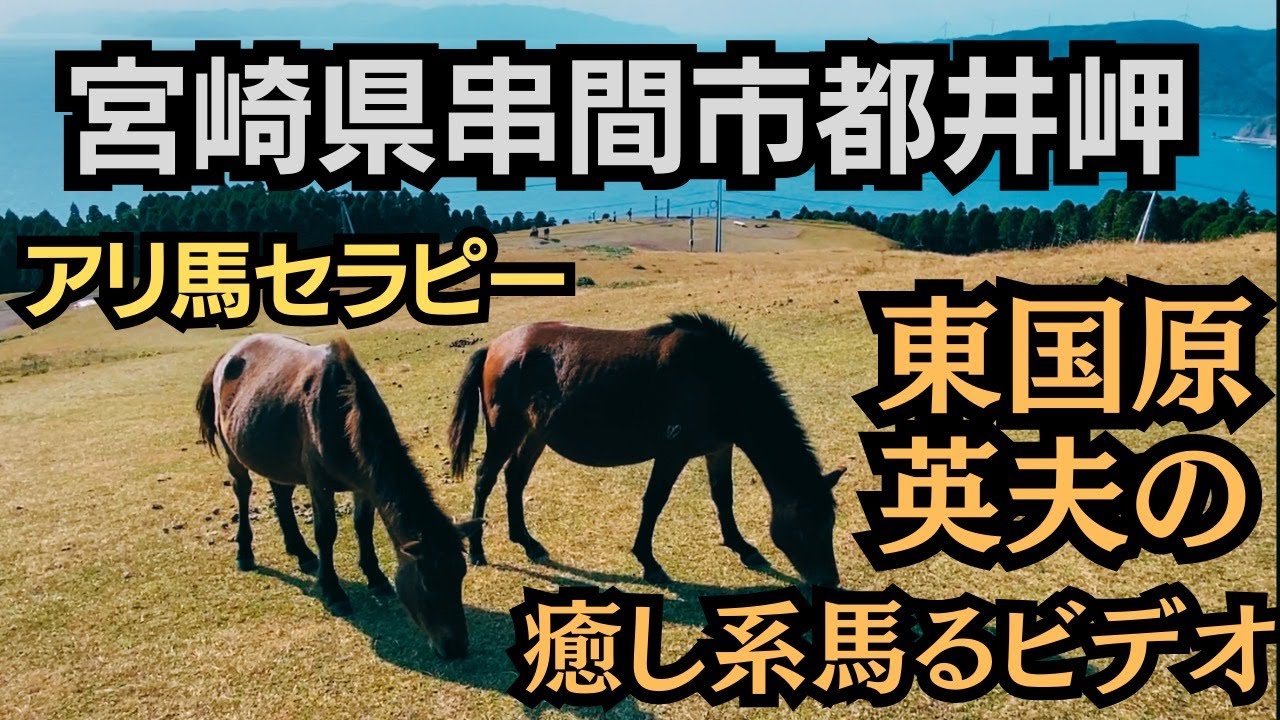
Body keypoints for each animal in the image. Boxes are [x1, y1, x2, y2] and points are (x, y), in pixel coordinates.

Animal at [196, 334, 480, 659]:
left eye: (460, 575)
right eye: (428, 583)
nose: (456, 647)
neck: (345, 417)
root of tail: (226, 356)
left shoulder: (363, 485)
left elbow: (363, 526)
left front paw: (375, 577)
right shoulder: (319, 483)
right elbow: (326, 533)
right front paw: (333, 592)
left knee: (281, 492)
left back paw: (303, 553)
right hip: (234, 452)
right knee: (242, 489)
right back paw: (246, 552)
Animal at [447, 313, 845, 588]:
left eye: (830, 523)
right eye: (810, 525)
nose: (829, 581)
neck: (716, 380)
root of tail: (495, 347)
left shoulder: (719, 448)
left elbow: (723, 496)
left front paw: (743, 547)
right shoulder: (672, 452)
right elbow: (654, 501)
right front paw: (649, 563)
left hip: (534, 434)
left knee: (515, 479)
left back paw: (529, 544)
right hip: (505, 431)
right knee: (485, 479)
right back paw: (478, 550)